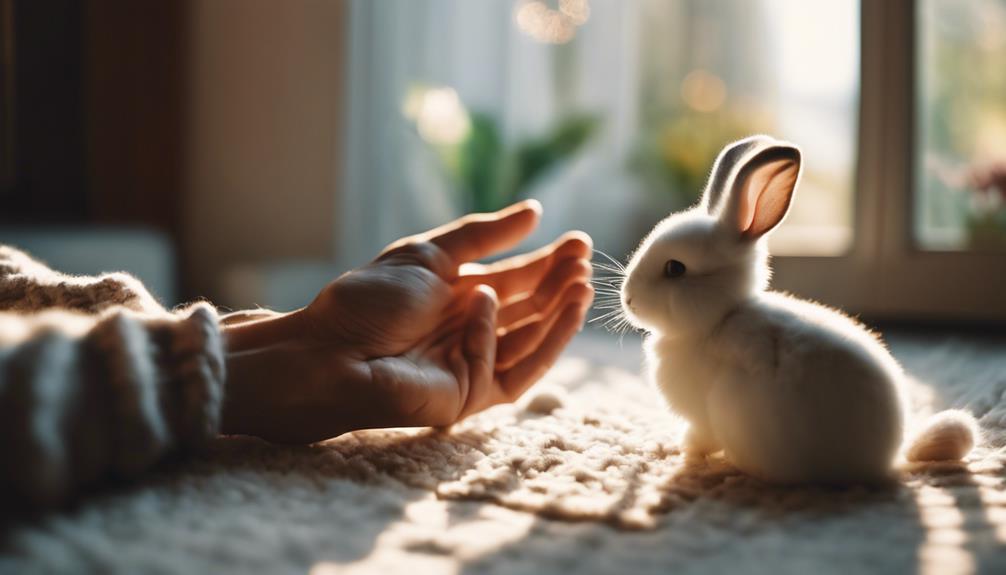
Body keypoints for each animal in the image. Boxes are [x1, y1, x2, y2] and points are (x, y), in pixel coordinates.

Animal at [618, 135, 979, 484]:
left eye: (675, 269)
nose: (628, 299)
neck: (716, 321)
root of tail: (888, 461)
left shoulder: (704, 419)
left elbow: (701, 437)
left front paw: (686, 451)